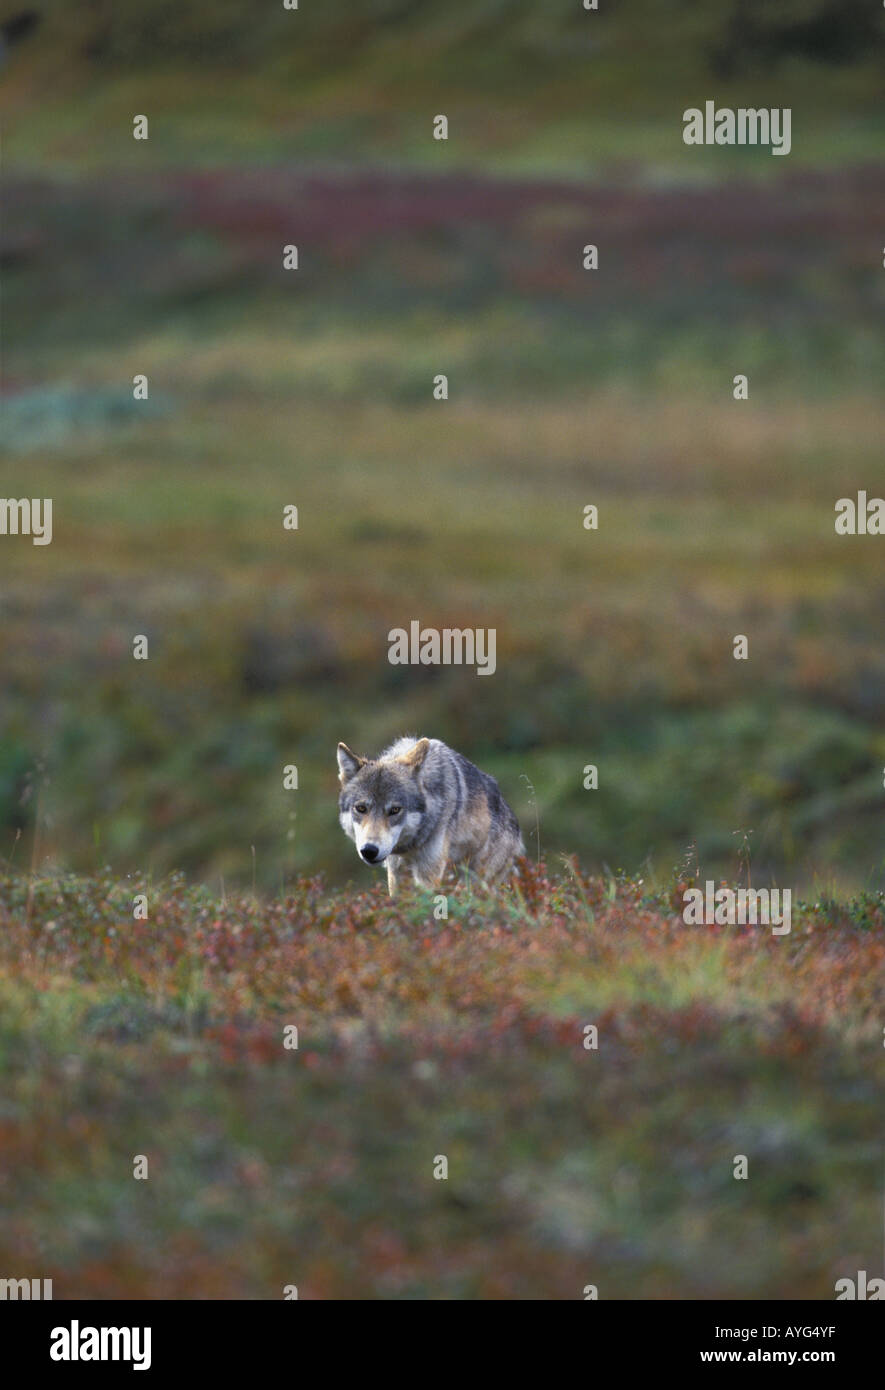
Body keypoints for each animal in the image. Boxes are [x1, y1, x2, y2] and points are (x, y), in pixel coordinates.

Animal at [337, 736, 523, 896]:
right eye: (361, 808)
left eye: (395, 810)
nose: (369, 850)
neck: (411, 846)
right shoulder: (395, 870)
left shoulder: (428, 871)